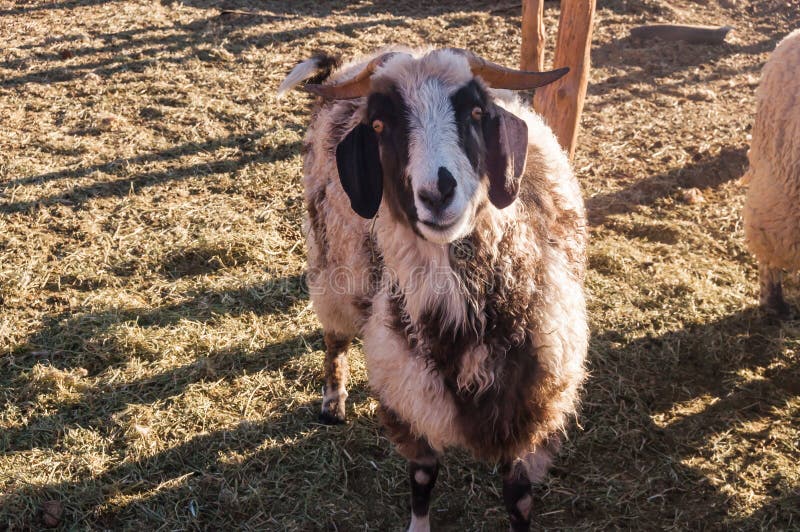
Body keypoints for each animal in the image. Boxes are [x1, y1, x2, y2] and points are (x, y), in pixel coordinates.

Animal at [279, 47, 588, 531]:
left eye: (476, 112)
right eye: (380, 125)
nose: (438, 192)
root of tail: (354, 62)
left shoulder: (531, 405)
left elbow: (519, 498)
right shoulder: (406, 391)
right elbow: (423, 477)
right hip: (331, 267)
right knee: (334, 337)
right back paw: (333, 403)